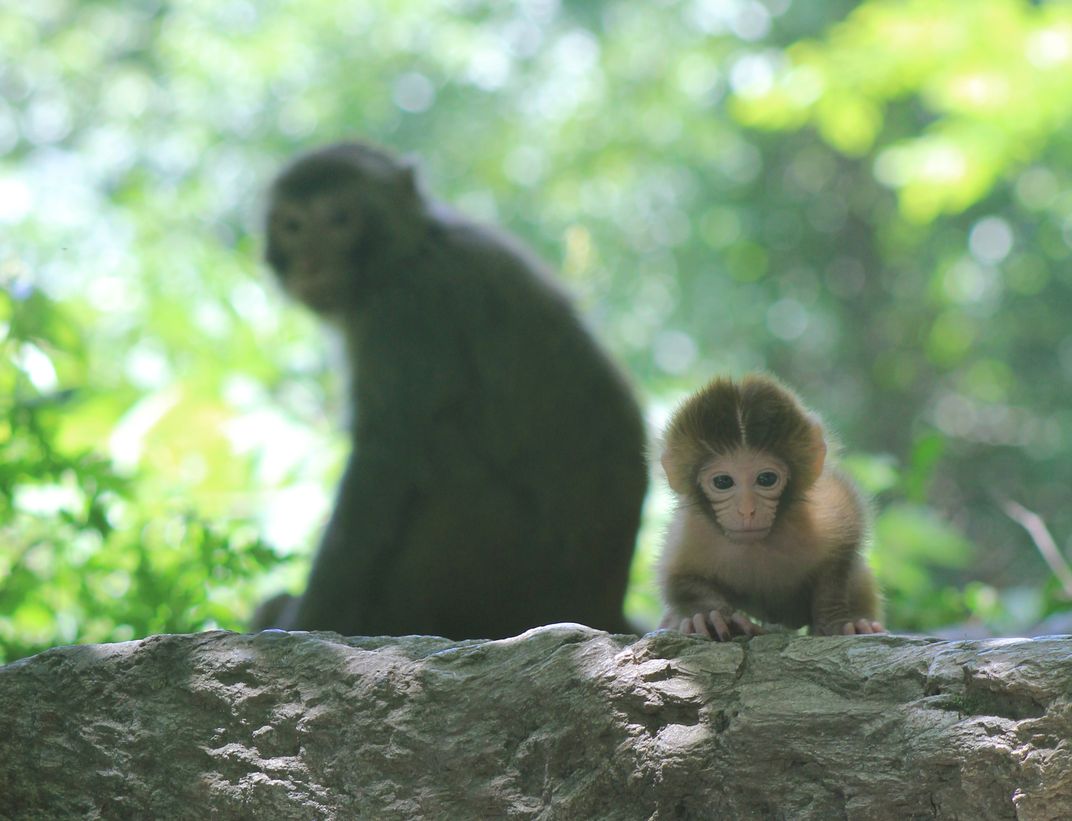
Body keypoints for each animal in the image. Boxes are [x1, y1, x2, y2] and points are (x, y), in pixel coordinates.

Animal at [253, 141, 648, 640]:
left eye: (340, 218)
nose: (310, 262)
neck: (417, 247)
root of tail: (605, 605)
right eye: (293, 226)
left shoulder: (405, 313)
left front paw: (307, 621)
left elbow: (382, 463)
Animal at [656, 374, 884, 640]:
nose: (747, 510)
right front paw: (708, 616)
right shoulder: (691, 532)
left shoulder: (829, 511)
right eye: (723, 482)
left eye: (766, 479)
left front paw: (837, 621)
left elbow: (841, 554)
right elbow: (679, 578)